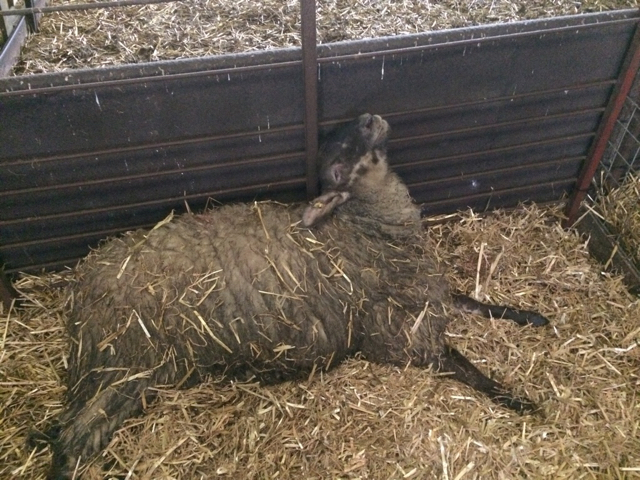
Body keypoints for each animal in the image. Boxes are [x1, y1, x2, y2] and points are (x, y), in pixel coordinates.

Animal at [35, 113, 548, 479]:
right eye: (343, 157)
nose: (370, 118)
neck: (371, 228)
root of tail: (83, 282)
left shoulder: (434, 299)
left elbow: (479, 303)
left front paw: (534, 317)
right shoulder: (404, 341)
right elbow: (469, 369)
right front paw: (521, 401)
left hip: (141, 370)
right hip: (125, 357)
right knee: (73, 438)